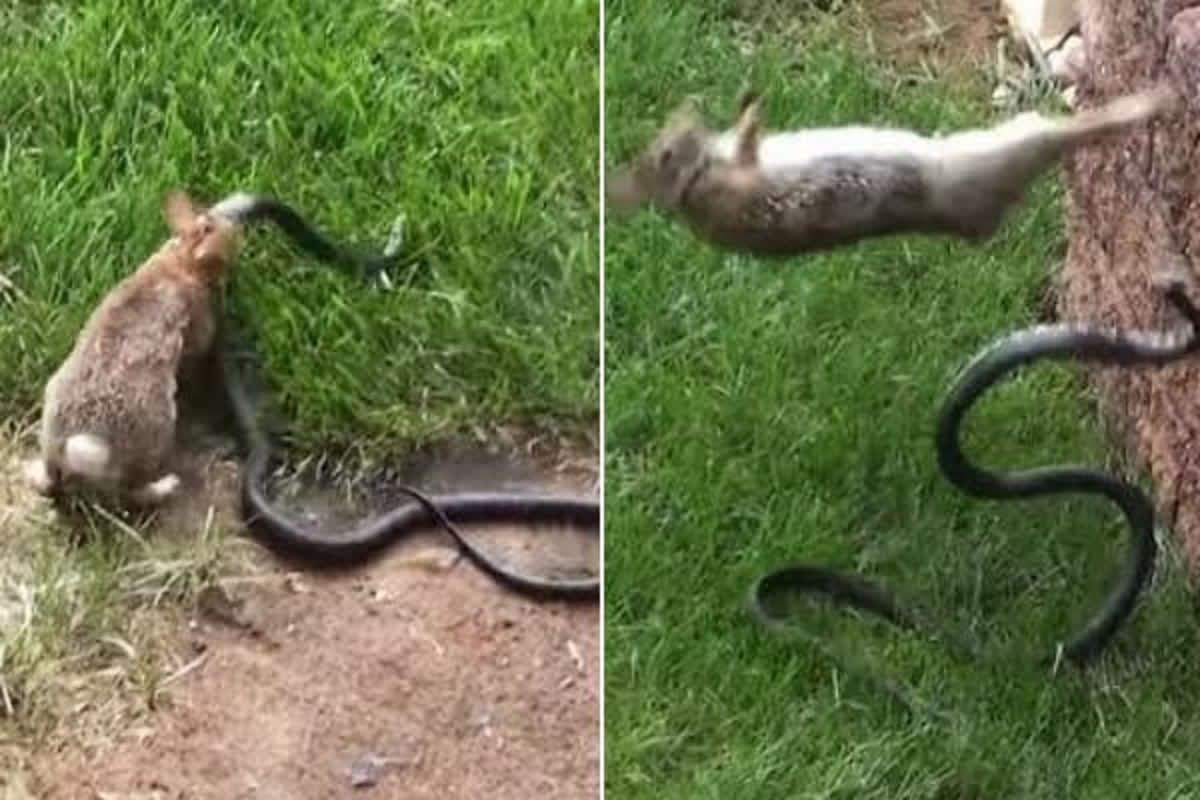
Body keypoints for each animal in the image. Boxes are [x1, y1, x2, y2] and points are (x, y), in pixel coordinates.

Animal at [24, 190, 239, 507]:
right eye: (208, 229)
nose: (235, 230)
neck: (182, 262)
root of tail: (87, 443)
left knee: (53, 480)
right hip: (157, 430)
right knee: (133, 490)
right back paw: (166, 486)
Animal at [606, 85, 1179, 257]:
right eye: (665, 154)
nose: (688, 116)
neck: (689, 189)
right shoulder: (738, 181)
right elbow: (749, 143)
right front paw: (754, 110)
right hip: (997, 147)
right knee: (1073, 127)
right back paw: (1151, 99)